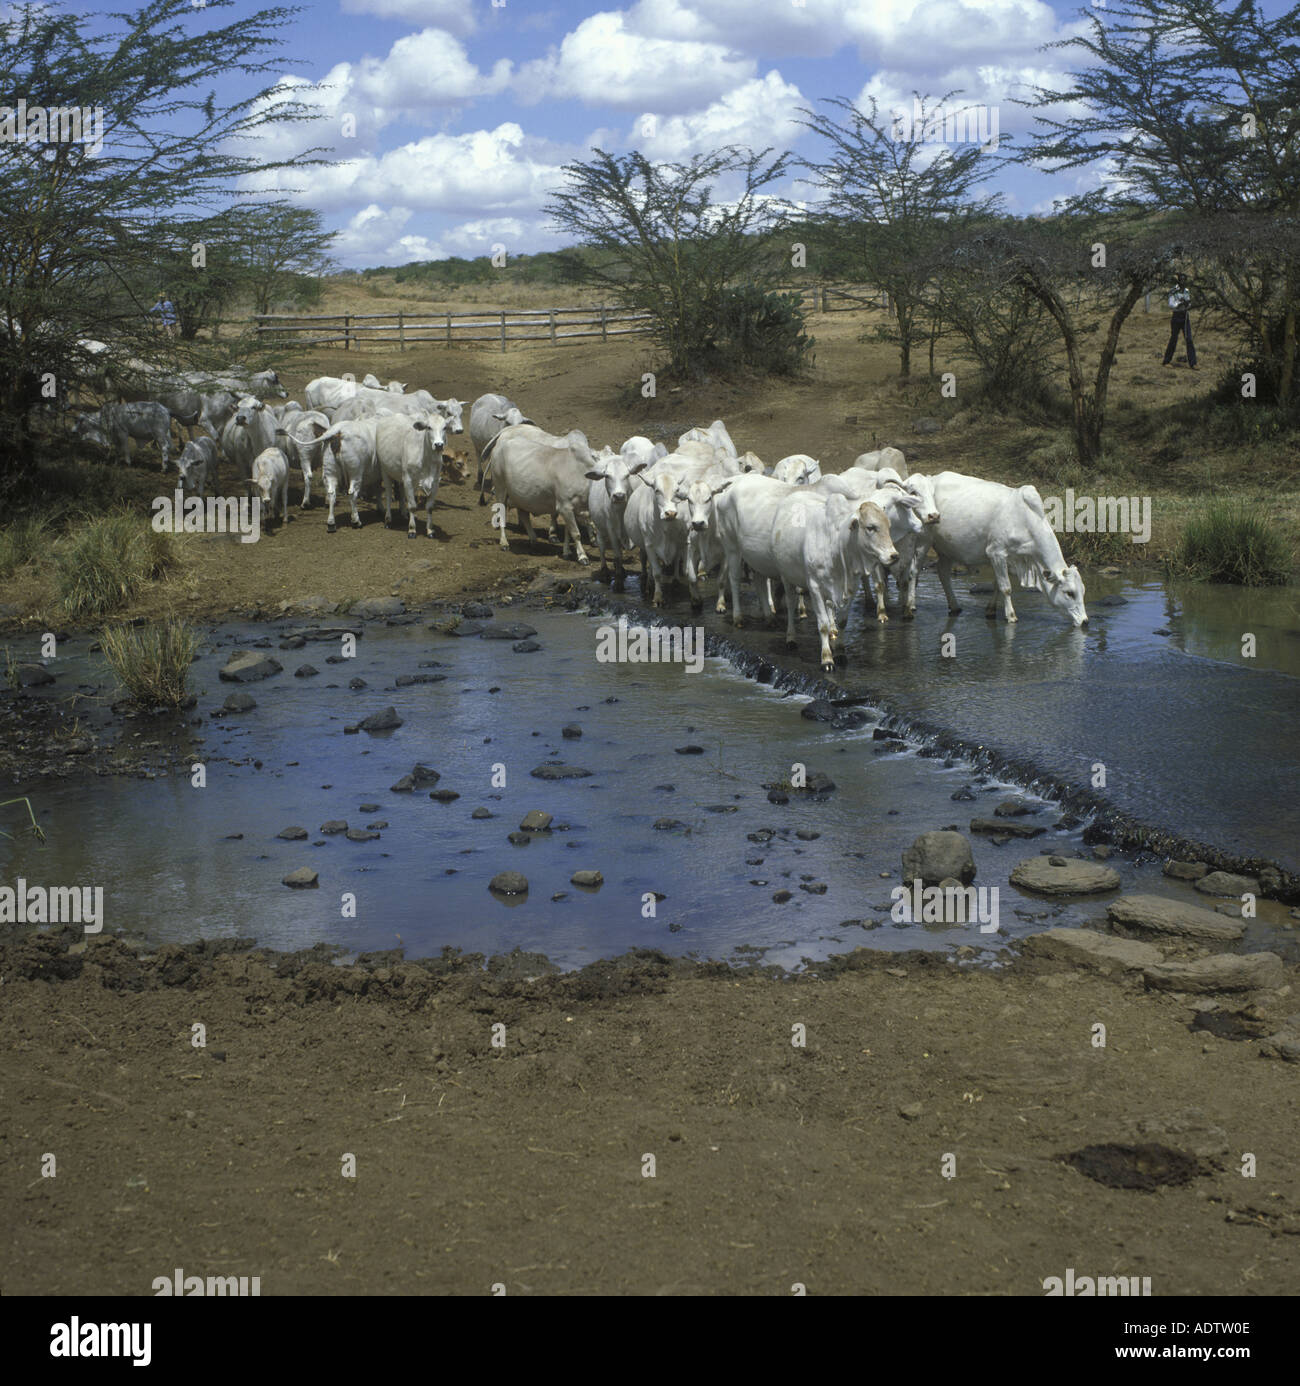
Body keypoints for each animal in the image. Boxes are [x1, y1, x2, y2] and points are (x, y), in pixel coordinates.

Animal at [928, 471, 1088, 626]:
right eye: (1070, 593)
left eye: (1083, 591)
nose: (1085, 621)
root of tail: (933, 477)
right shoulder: (995, 552)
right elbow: (1006, 587)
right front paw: (1011, 616)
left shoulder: (1008, 558)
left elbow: (997, 585)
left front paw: (991, 610)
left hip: (946, 551)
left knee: (942, 572)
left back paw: (954, 606)